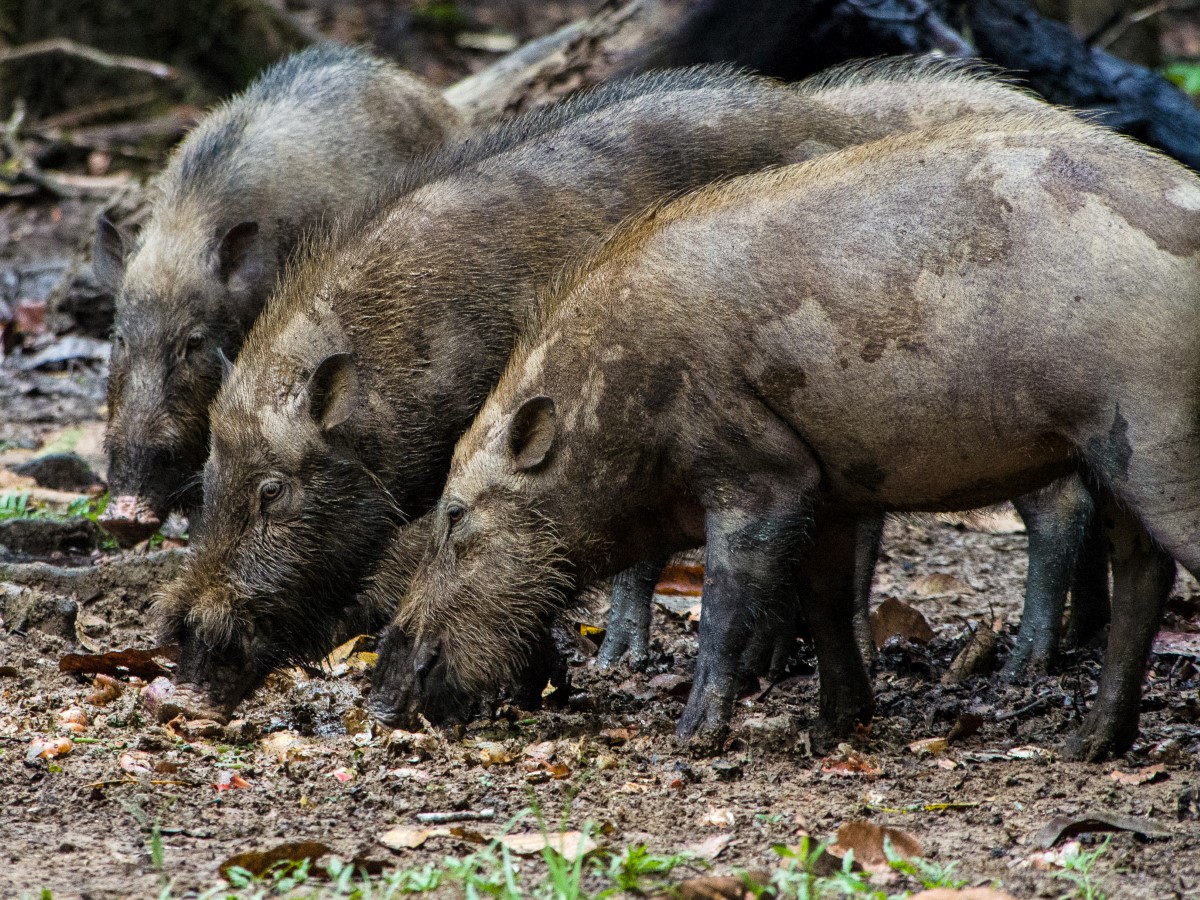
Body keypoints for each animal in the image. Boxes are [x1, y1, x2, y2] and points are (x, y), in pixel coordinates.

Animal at [377, 111, 1200, 762]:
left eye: (454, 516)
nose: (383, 695)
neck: (619, 409)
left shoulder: (762, 474)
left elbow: (725, 607)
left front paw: (692, 739)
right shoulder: (829, 489)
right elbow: (825, 599)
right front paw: (835, 729)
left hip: (1157, 438)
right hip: (1111, 458)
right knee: (1143, 574)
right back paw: (1088, 746)